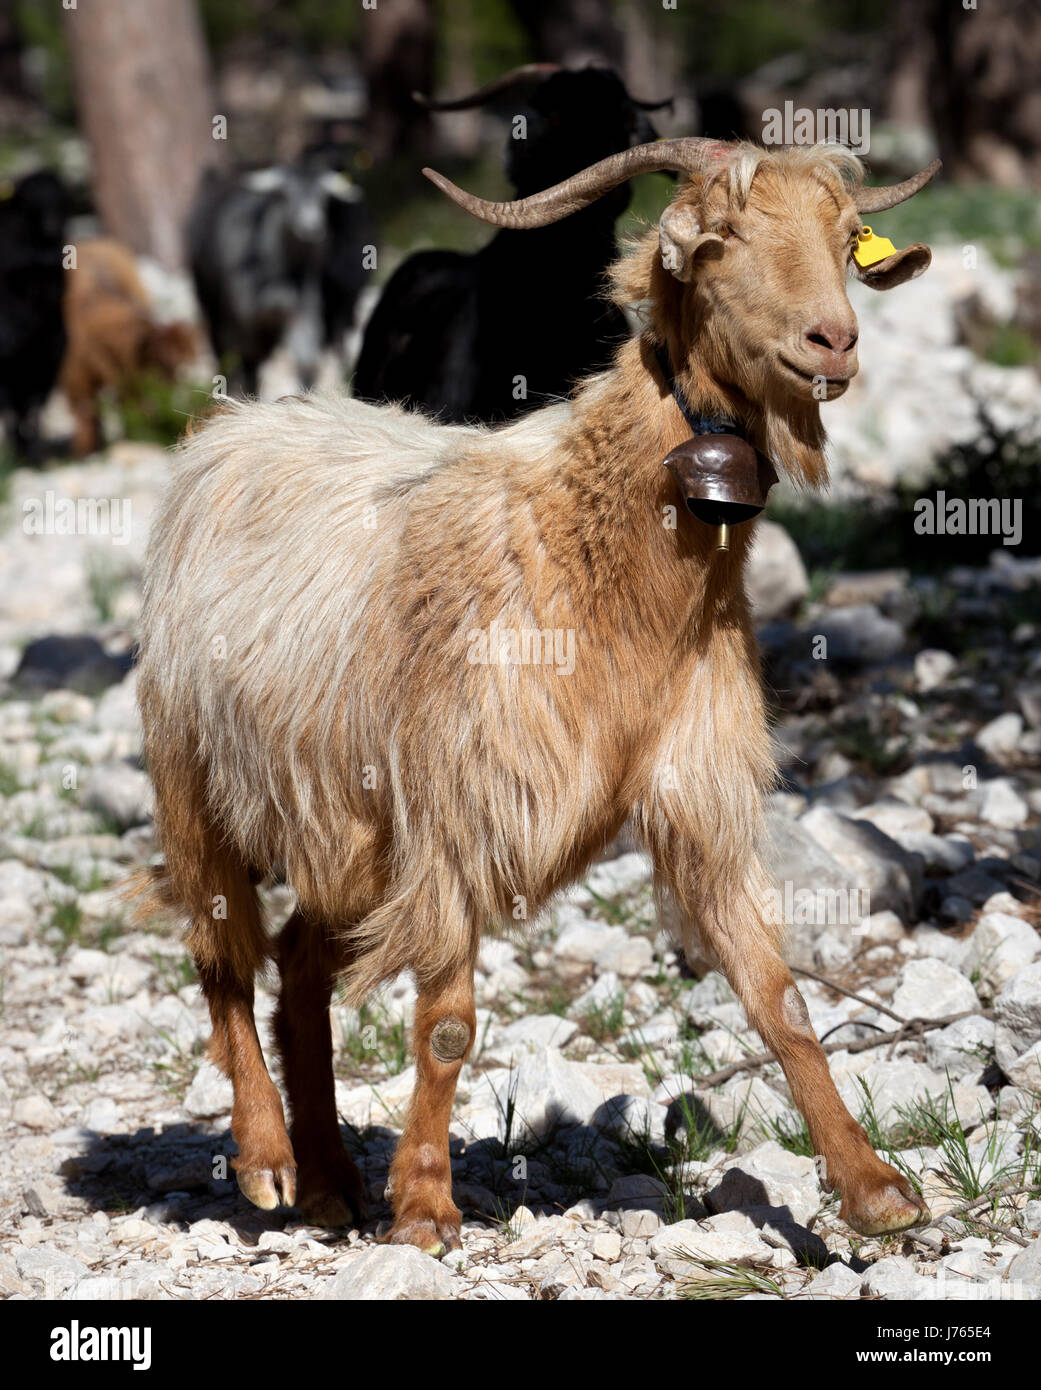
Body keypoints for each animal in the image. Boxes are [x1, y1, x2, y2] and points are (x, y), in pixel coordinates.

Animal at [60, 238, 197, 457]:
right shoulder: (77, 376)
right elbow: (86, 412)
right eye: (162, 358)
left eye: (187, 358)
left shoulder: (128, 375)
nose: (171, 387)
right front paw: (84, 449)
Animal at [188, 151, 370, 396]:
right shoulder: (243, 315)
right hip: (213, 315)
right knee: (229, 360)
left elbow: (306, 354)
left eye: (323, 197)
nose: (311, 227)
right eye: (286, 195)